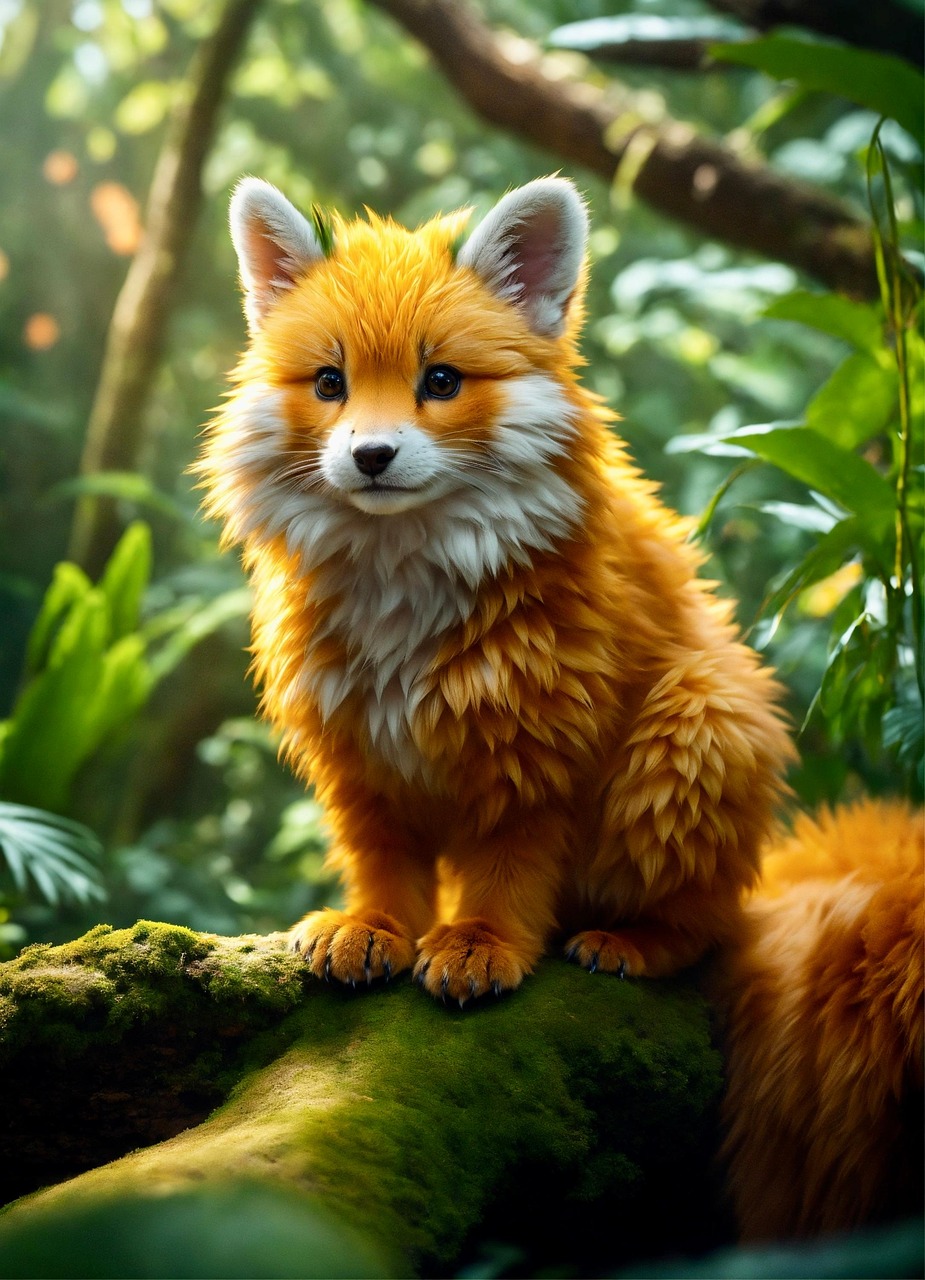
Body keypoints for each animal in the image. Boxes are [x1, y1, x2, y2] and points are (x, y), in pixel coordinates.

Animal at [199, 175, 794, 1004]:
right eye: (329, 383)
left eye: (441, 380)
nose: (371, 455)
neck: (402, 601)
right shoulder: (358, 755)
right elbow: (382, 866)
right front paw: (375, 927)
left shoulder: (536, 754)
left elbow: (505, 874)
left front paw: (481, 943)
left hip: (700, 723)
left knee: (707, 927)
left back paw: (632, 942)